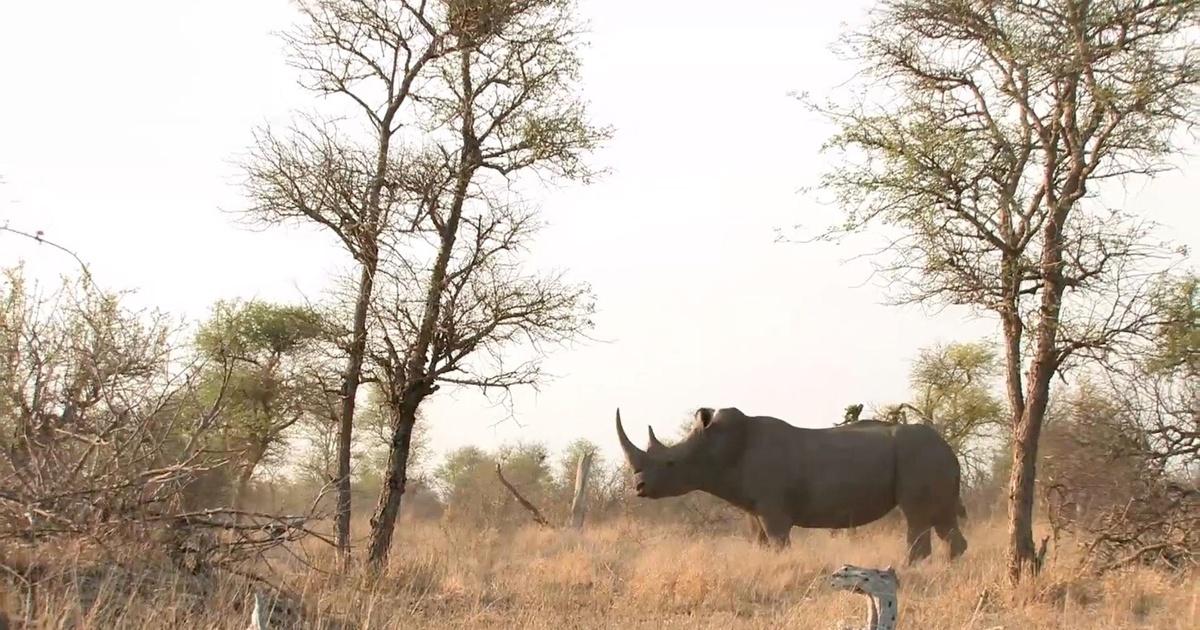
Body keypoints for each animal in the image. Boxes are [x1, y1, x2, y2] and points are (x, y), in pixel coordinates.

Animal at [616, 407, 967, 563]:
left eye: (670, 464)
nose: (639, 487)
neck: (716, 448)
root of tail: (949, 448)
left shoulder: (773, 509)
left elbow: (777, 540)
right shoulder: (754, 508)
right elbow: (759, 540)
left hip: (918, 455)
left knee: (917, 516)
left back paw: (912, 568)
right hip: (930, 458)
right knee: (943, 519)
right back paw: (950, 566)